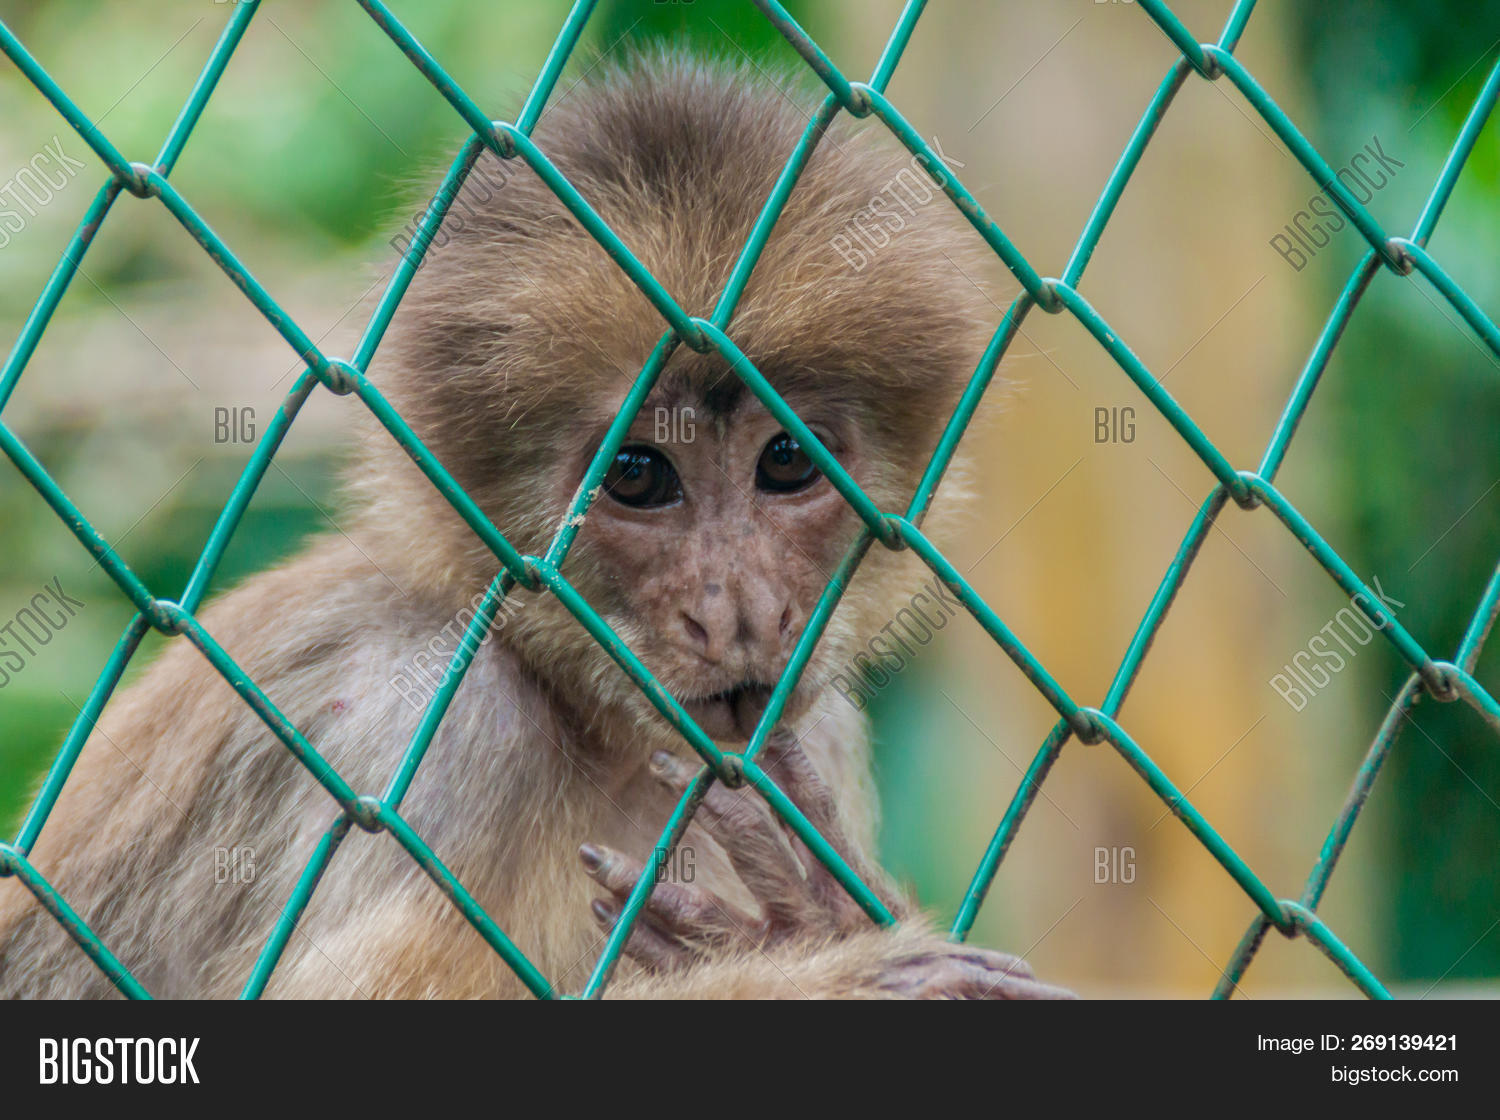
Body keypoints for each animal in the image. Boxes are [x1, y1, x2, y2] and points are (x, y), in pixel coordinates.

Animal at [0, 46, 1072, 999]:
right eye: (636, 475)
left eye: (786, 462)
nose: (740, 613)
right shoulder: (433, 716)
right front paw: (832, 964)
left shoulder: (822, 727)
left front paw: (824, 921)